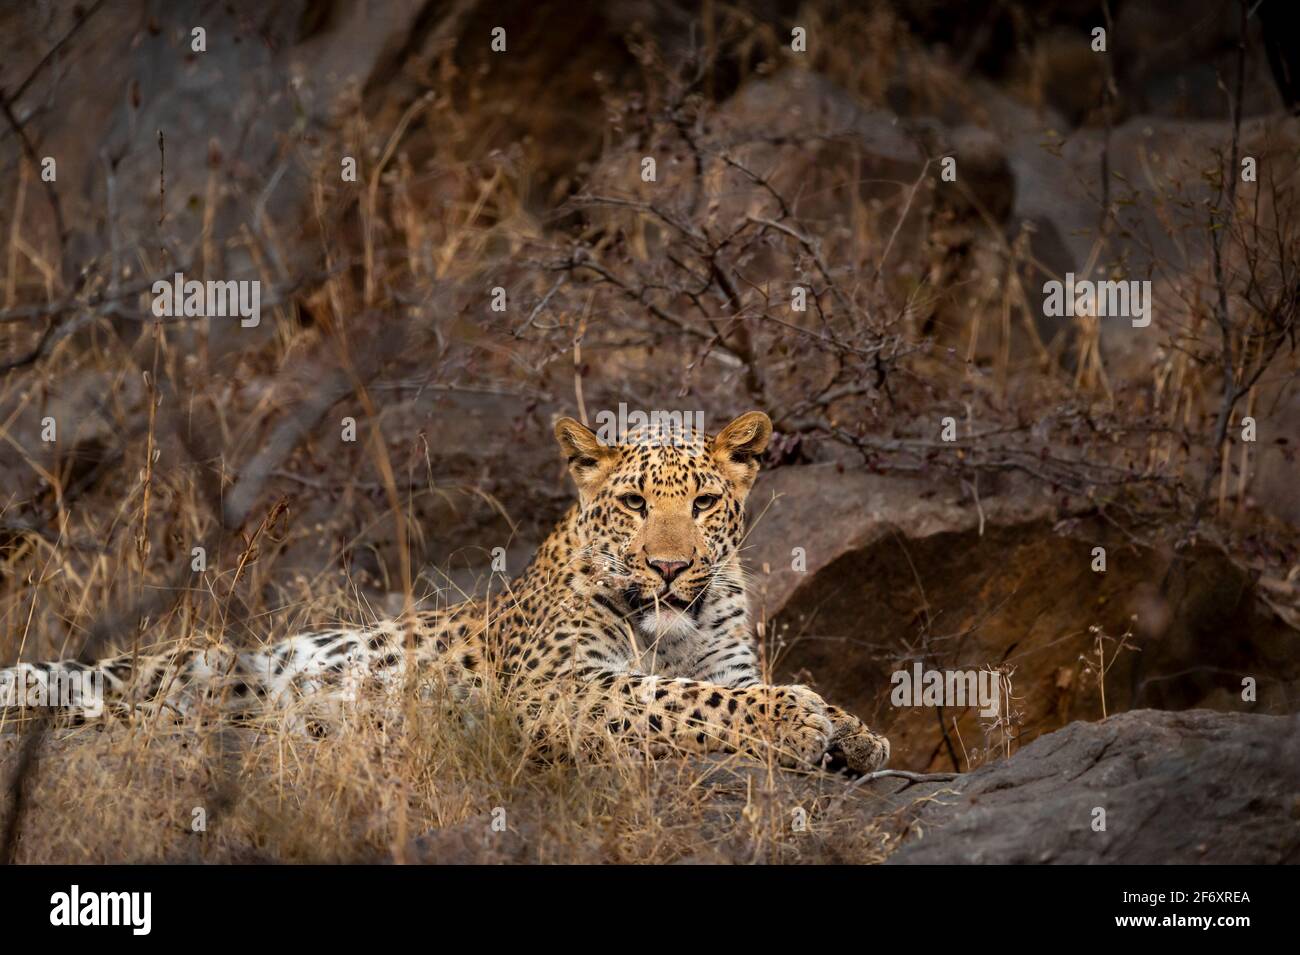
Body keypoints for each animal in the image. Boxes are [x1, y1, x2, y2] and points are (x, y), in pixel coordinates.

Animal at [0, 410, 889, 774]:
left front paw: (856, 731)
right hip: (179, 673)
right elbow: (687, 699)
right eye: (635, 504)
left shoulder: (721, 660)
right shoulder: (556, 686)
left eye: (703, 503)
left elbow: (724, 689)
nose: (669, 567)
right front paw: (802, 716)